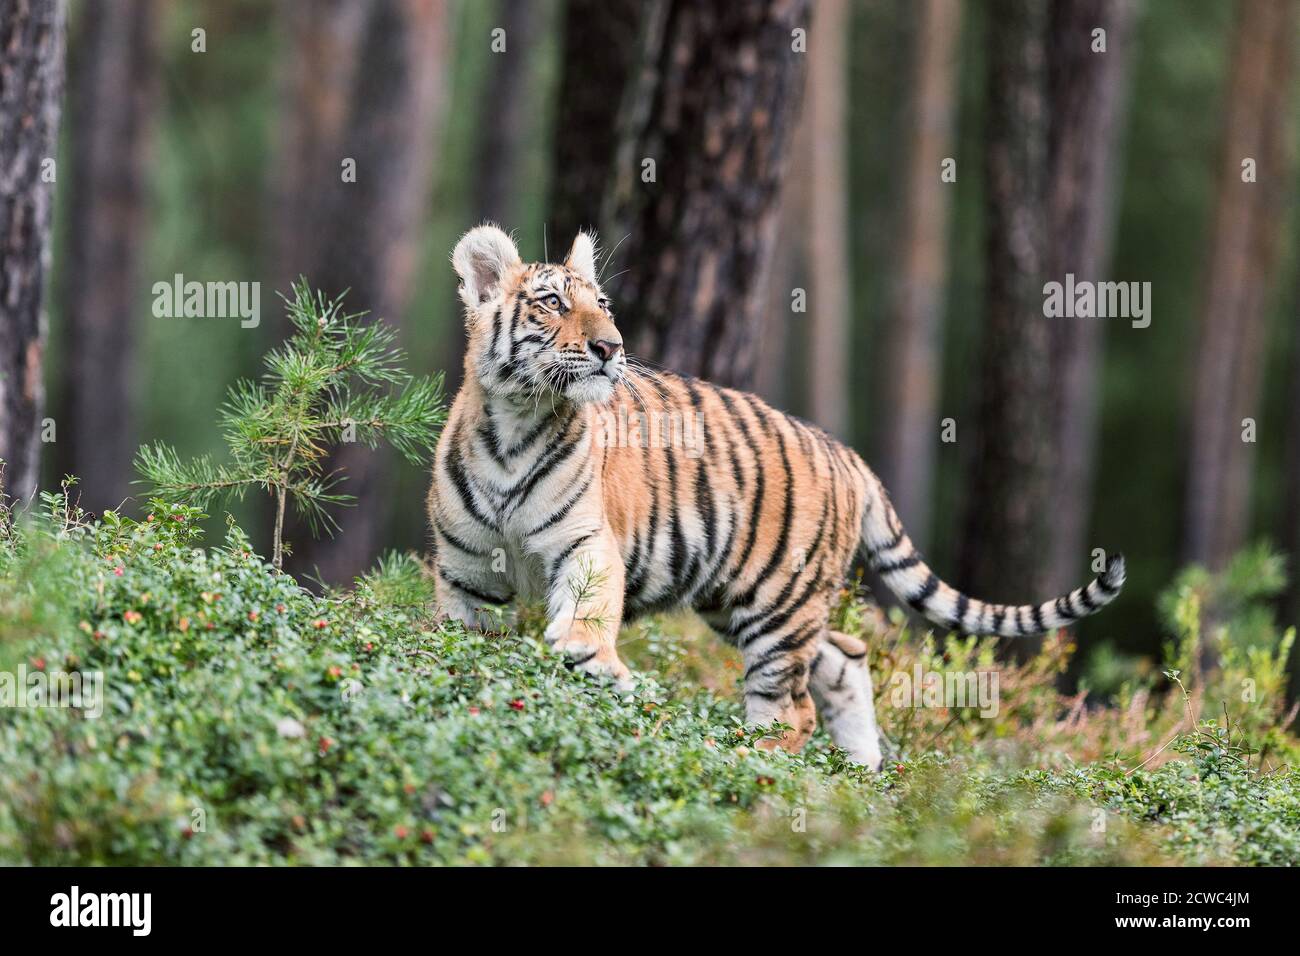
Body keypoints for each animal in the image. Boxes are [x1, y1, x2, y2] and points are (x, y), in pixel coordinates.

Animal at [427, 224, 1126, 769]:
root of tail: (845, 453)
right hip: (745, 598)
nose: (610, 347)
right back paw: (862, 769)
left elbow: (590, 607)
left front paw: (589, 656)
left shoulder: (587, 542)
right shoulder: (464, 570)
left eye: (603, 305)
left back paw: (743, 755)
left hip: (777, 605)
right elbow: (455, 631)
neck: (515, 426)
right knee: (845, 656)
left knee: (793, 711)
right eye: (550, 303)